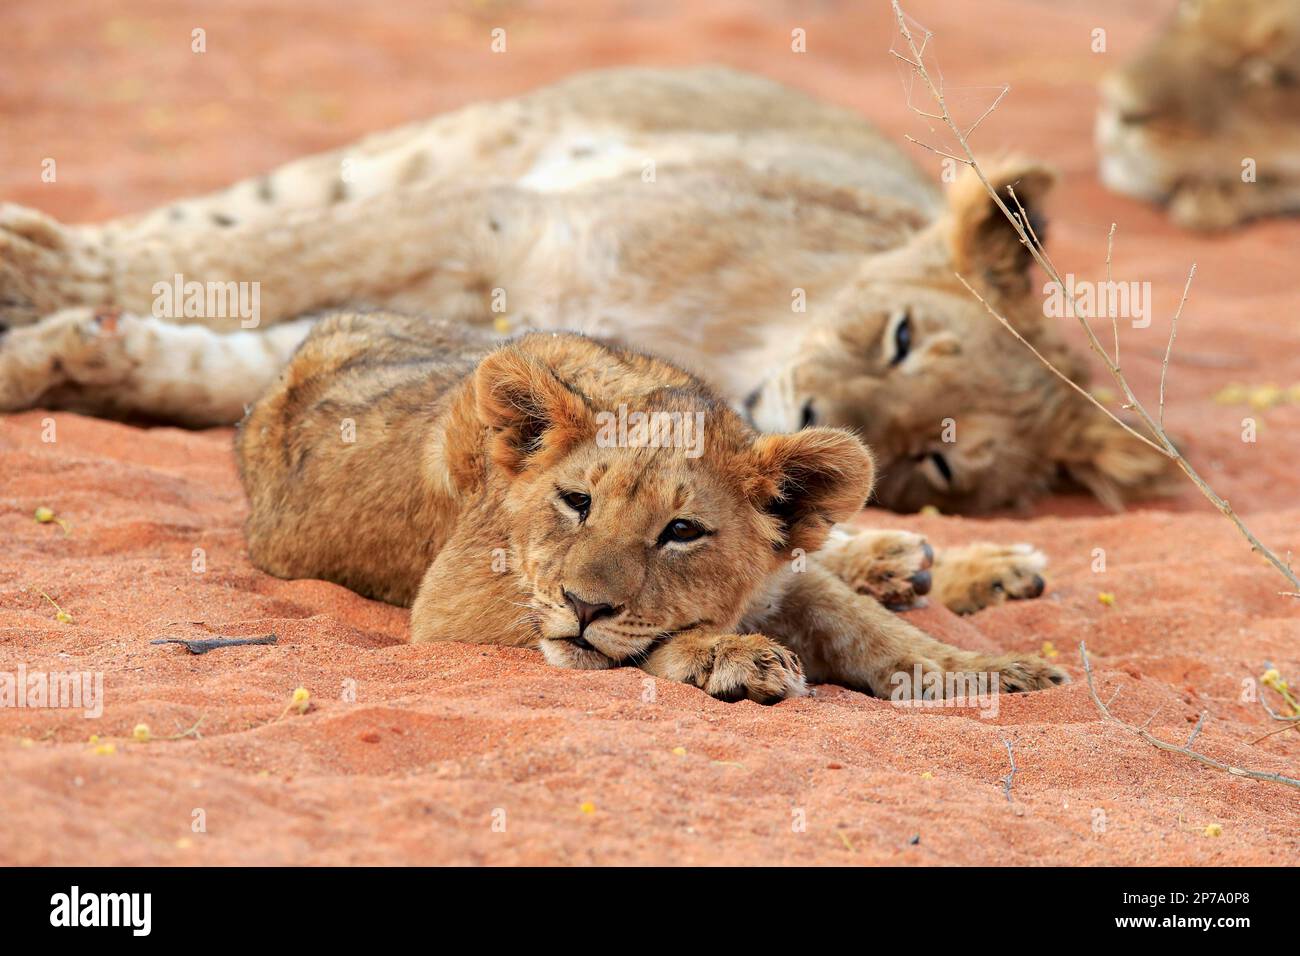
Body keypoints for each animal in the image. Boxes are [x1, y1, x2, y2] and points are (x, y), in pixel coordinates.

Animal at [0, 66, 1176, 512]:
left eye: (935, 460)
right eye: (896, 335)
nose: (813, 415)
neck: (738, 349)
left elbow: (228, 362)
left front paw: (72, 357)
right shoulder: (512, 219)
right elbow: (246, 264)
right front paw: (39, 287)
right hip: (426, 151)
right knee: (207, 222)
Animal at [234, 308, 1065, 701]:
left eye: (682, 531)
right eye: (576, 502)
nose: (584, 605)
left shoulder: (786, 576)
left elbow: (867, 625)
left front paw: (992, 673)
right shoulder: (451, 603)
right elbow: (633, 641)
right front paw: (729, 656)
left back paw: (944, 563)